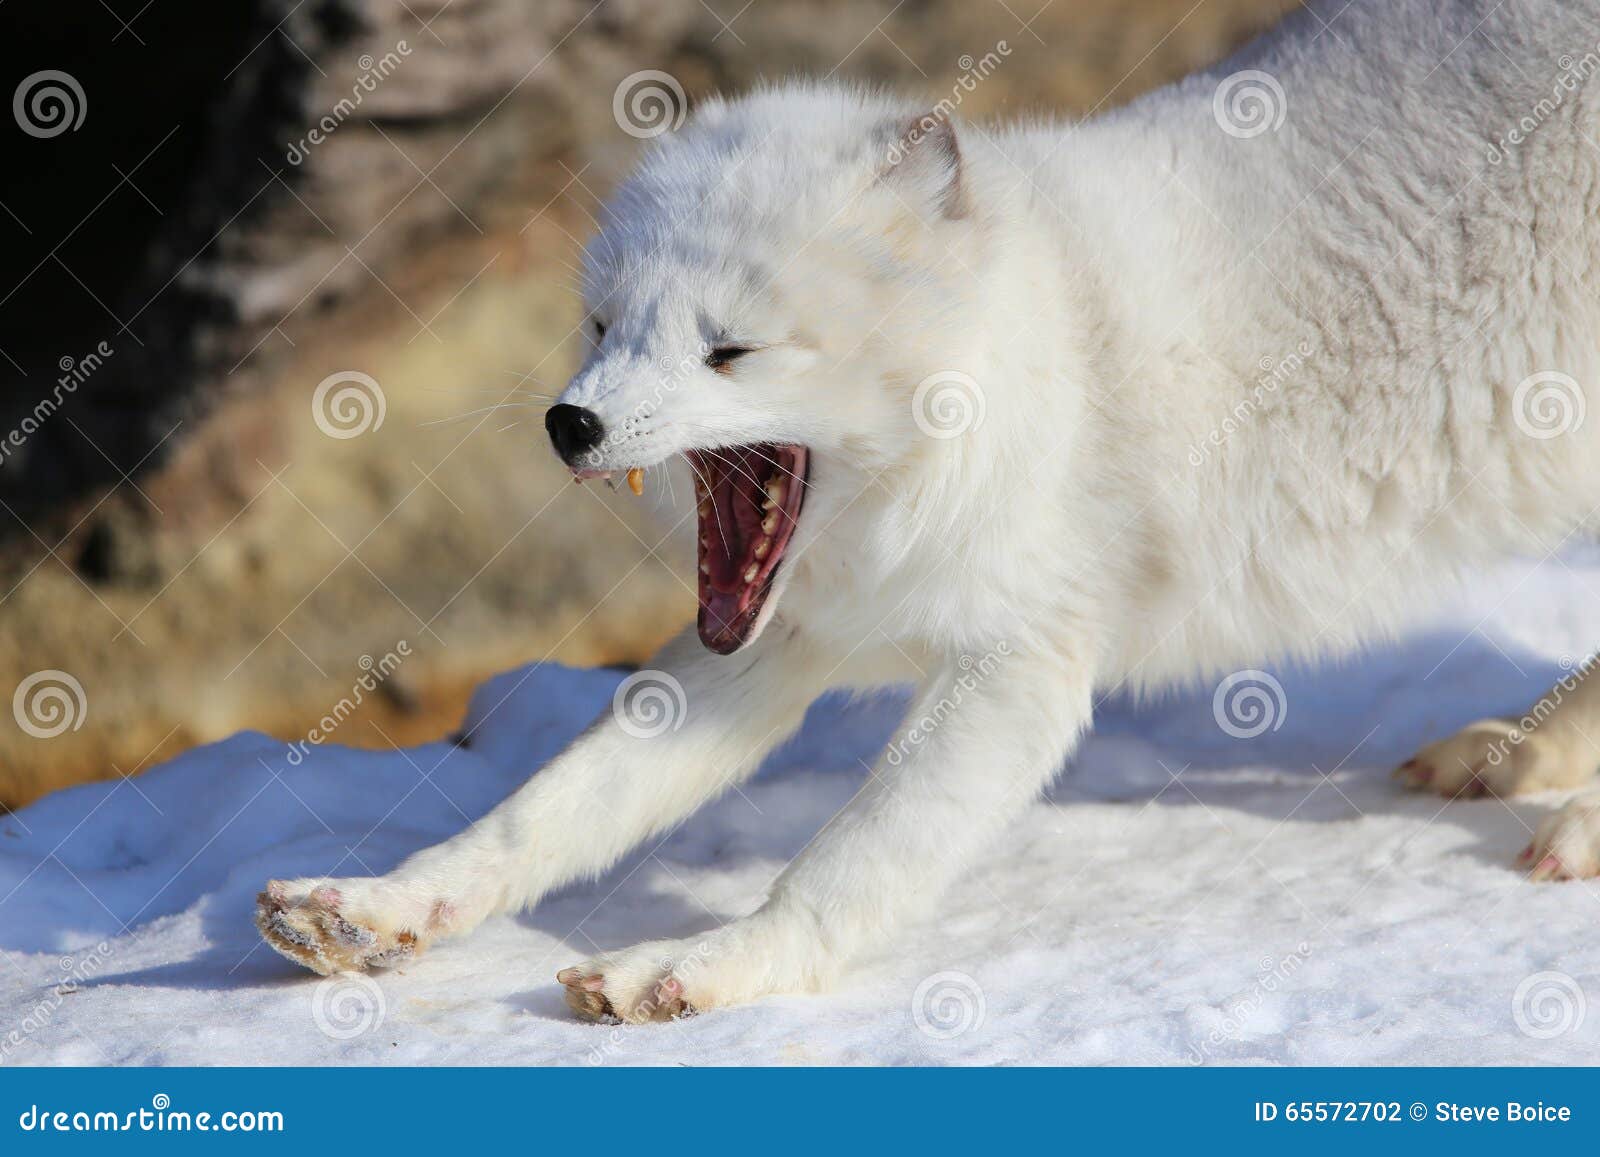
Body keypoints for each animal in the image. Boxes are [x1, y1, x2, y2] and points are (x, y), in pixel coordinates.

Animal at [259, 0, 1600, 1022]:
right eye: (602, 326)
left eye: (730, 352)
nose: (567, 424)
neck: (1029, 360)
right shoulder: (771, 637)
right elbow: (551, 808)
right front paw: (378, 906)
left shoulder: (1021, 664)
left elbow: (849, 860)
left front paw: (702, 964)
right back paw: (1520, 753)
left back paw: (1574, 818)